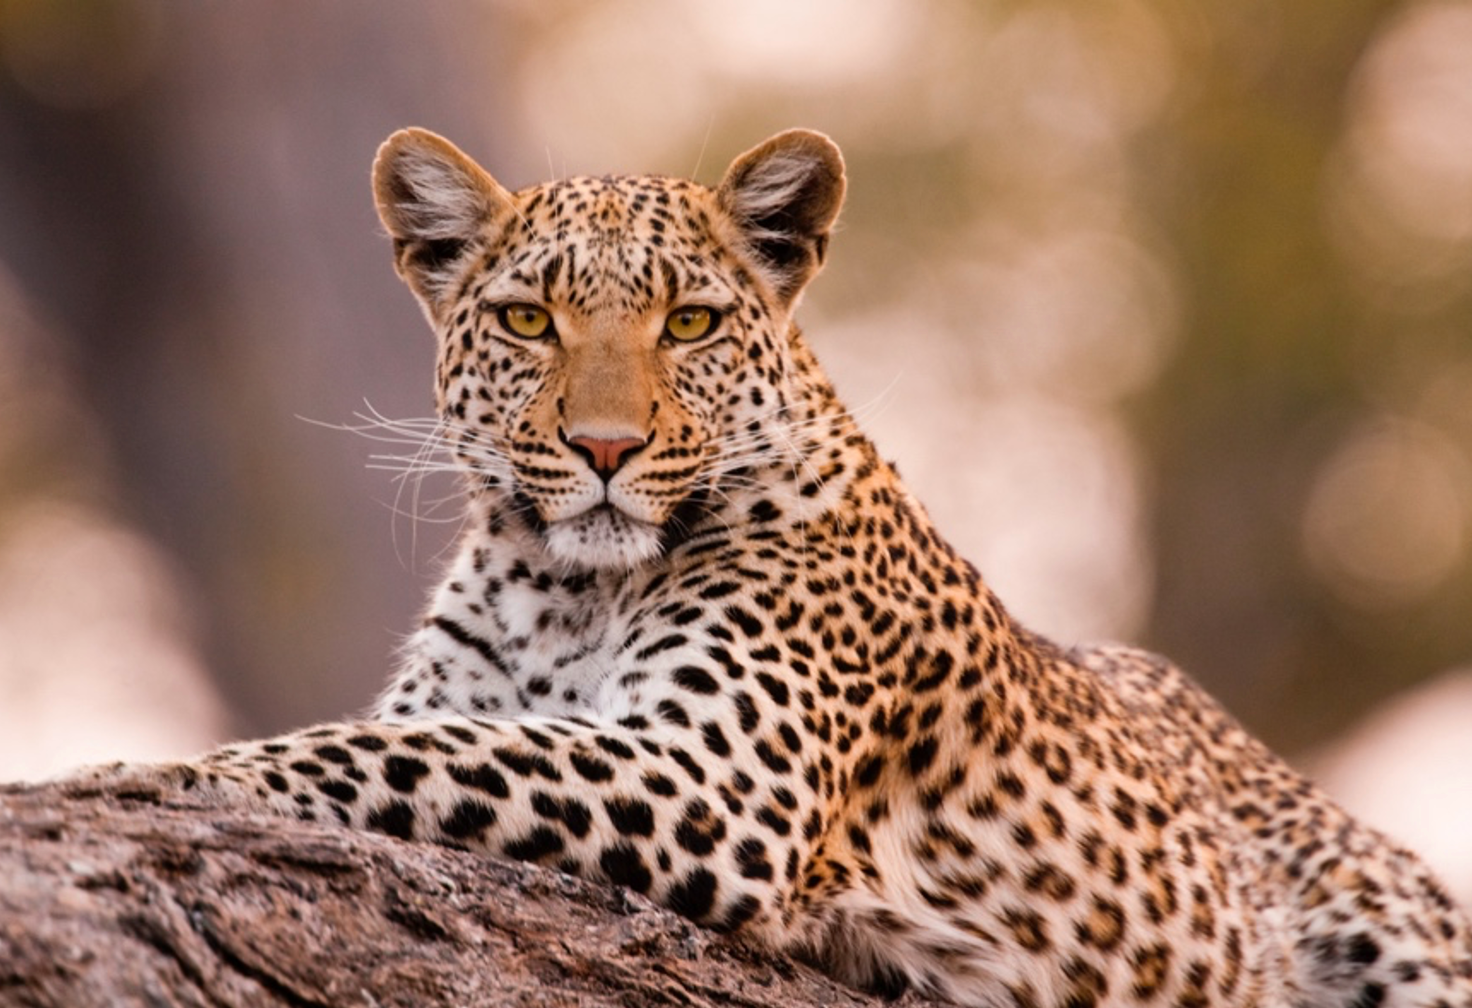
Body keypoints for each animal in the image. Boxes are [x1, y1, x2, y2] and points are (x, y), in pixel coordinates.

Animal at [65, 127, 1472, 1008]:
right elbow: (420, 733)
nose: (606, 448)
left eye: (689, 323)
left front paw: (137, 776)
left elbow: (393, 753)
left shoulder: (719, 778)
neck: (561, 588)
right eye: (527, 320)